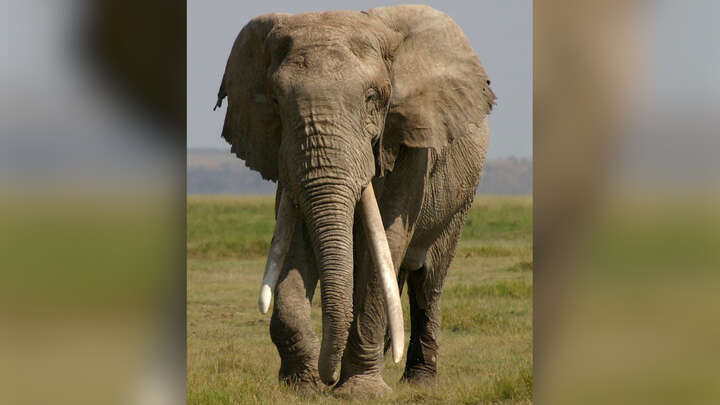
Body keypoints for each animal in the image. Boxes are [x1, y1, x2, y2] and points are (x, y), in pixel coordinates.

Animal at [214, 5, 495, 396]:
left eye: (372, 99)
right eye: (275, 101)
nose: (327, 378)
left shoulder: (411, 145)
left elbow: (388, 236)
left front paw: (360, 392)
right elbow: (296, 242)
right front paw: (302, 387)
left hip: (460, 198)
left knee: (427, 280)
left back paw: (420, 381)